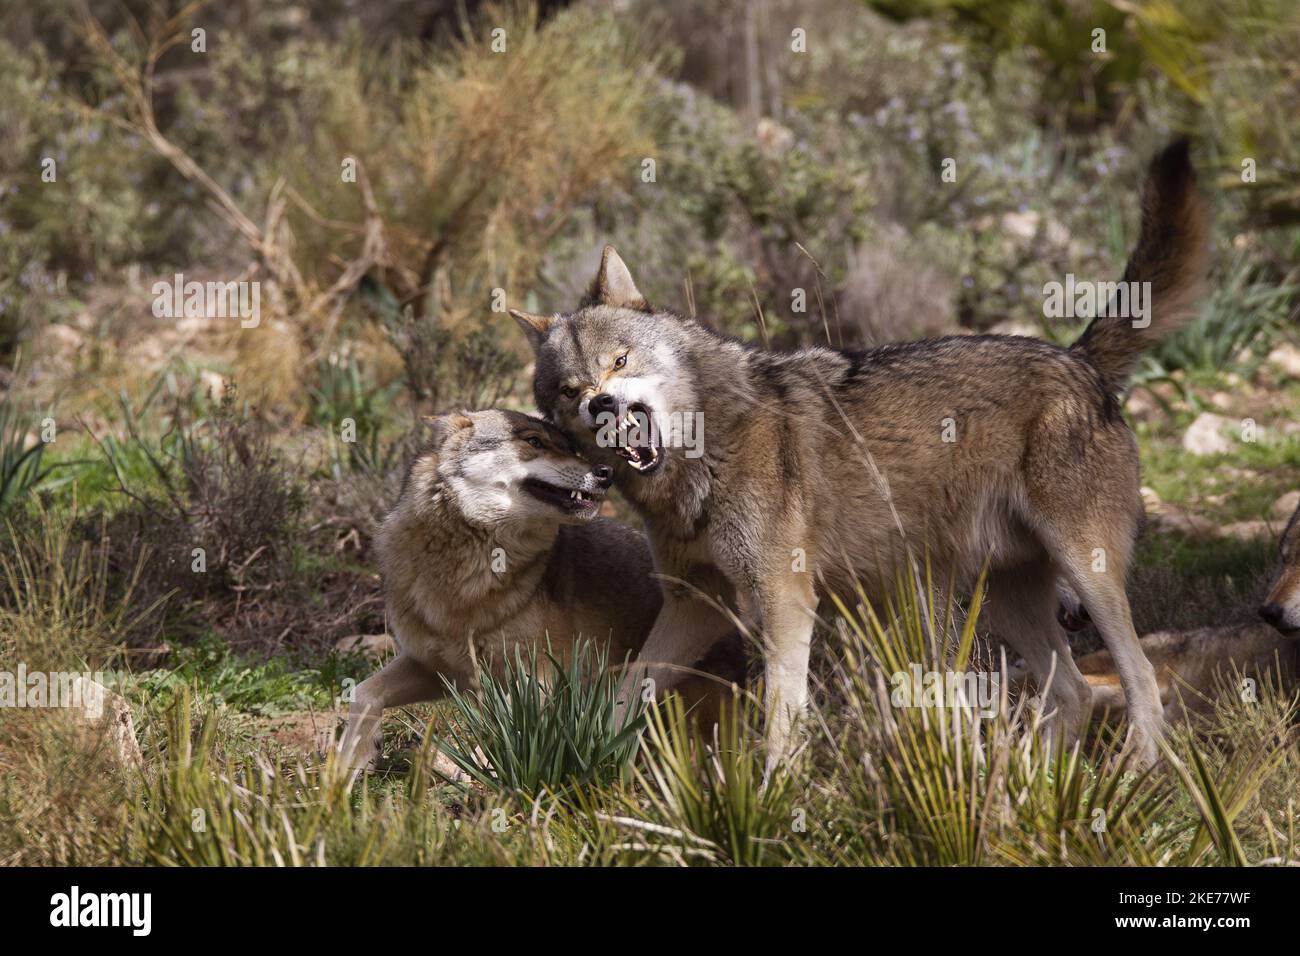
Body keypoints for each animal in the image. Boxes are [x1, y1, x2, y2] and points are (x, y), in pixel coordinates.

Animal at [337, 409, 740, 770]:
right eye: (534, 442)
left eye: (569, 446)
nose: (606, 473)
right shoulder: (434, 668)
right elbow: (363, 693)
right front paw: (345, 770)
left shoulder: (539, 682)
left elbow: (502, 741)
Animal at [512, 140, 1208, 768]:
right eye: (570, 389)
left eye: (619, 360)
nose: (602, 405)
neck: (702, 463)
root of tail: (1078, 357)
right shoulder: (696, 604)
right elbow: (629, 686)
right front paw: (584, 755)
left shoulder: (785, 598)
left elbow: (780, 716)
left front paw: (772, 792)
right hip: (1010, 598)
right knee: (1075, 692)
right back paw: (1029, 785)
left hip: (1087, 575)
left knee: (1140, 679)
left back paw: (1129, 775)